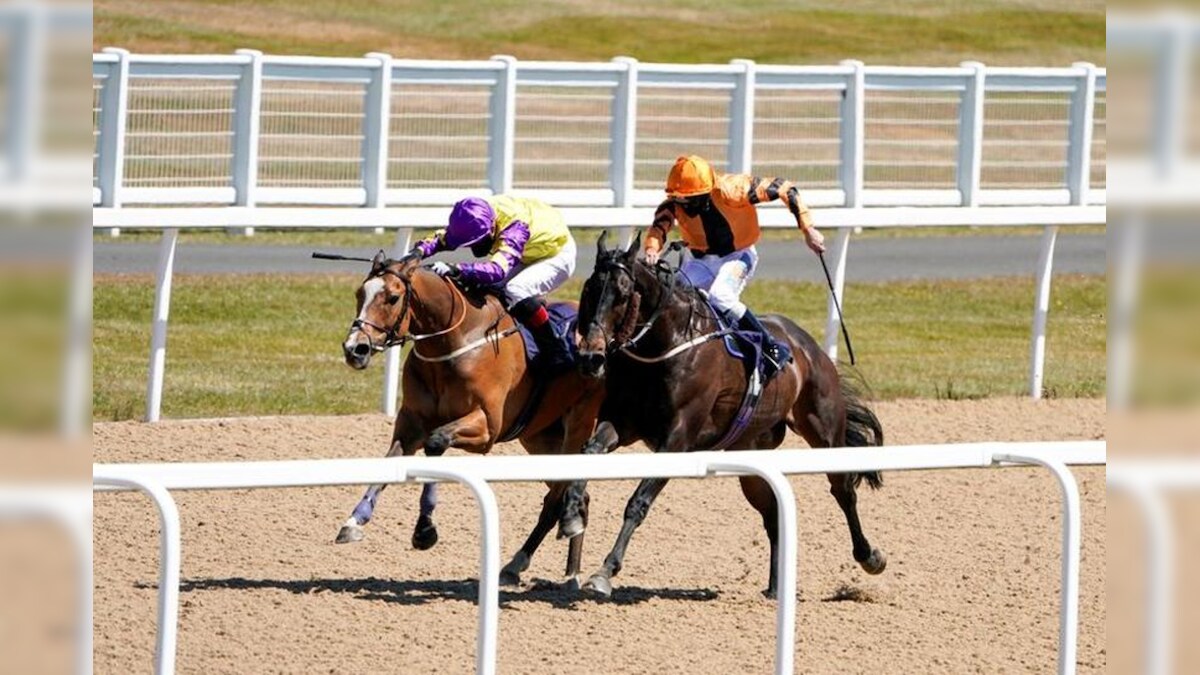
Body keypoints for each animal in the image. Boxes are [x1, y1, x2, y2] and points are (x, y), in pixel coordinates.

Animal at [336, 251, 604, 586]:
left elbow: (436, 443)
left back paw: (531, 565)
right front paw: (353, 521)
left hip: (578, 424)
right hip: (540, 438)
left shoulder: (486, 426)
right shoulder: (410, 424)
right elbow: (390, 464)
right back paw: (567, 570)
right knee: (578, 495)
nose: (354, 349)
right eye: (359, 294)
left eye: (393, 297)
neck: (456, 340)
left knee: (557, 498)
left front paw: (425, 531)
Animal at [557, 232, 886, 598]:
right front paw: (571, 516)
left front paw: (605, 571)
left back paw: (870, 556)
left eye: (623, 294)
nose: (591, 357)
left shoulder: (677, 440)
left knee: (843, 491)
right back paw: (775, 587)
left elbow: (638, 502)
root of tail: (809, 348)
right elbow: (589, 453)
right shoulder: (623, 422)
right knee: (773, 514)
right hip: (751, 453)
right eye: (589, 289)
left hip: (824, 430)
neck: (665, 343)